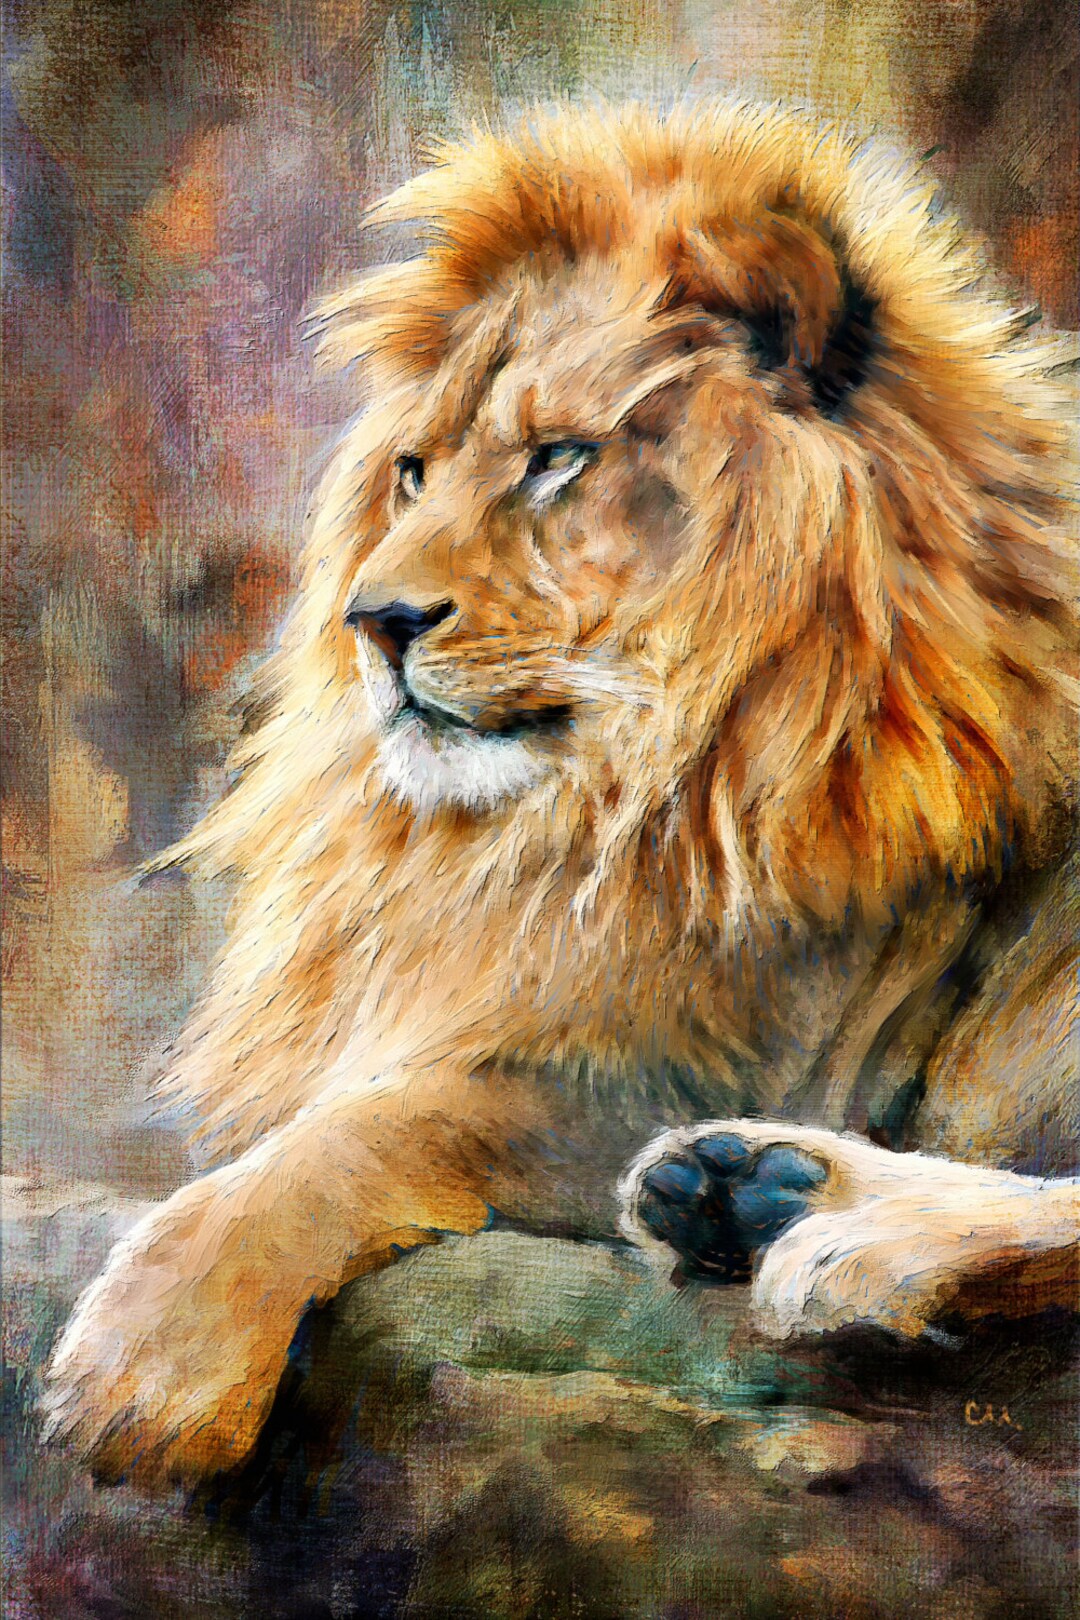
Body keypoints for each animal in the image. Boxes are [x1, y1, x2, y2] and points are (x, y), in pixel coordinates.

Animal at [44, 99, 1078, 1490]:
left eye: (559, 460)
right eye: (414, 473)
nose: (374, 621)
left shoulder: (733, 1052)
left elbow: (371, 1126)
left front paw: (146, 1366)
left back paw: (855, 1245)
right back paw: (745, 1190)